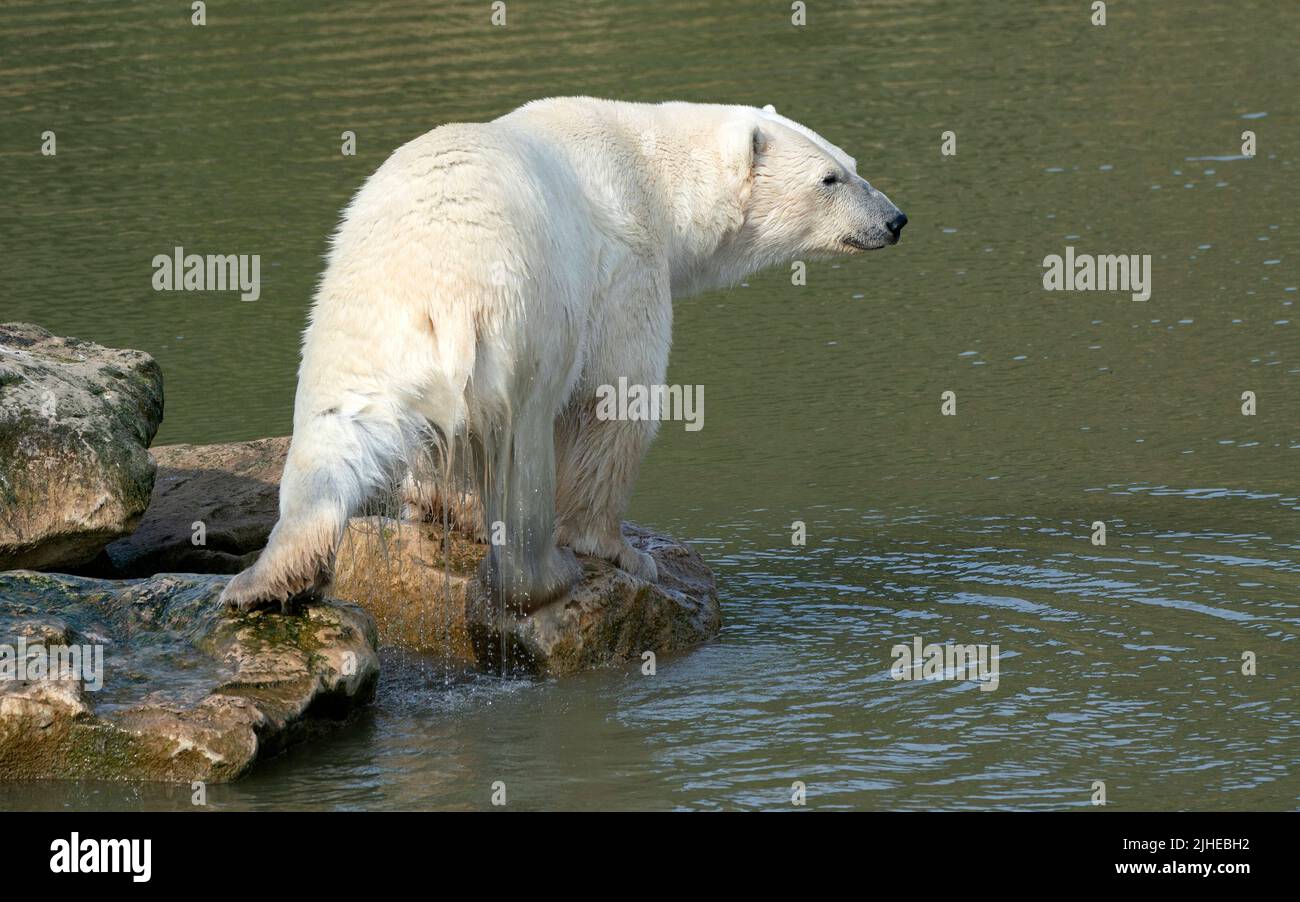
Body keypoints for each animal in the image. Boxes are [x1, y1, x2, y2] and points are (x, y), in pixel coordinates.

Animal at [219, 97, 906, 613]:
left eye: (851, 164)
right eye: (830, 179)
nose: (896, 219)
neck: (654, 172)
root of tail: (443, 289)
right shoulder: (626, 266)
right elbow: (617, 400)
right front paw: (623, 550)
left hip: (353, 319)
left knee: (332, 436)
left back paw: (268, 580)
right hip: (523, 326)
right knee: (526, 445)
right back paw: (545, 574)